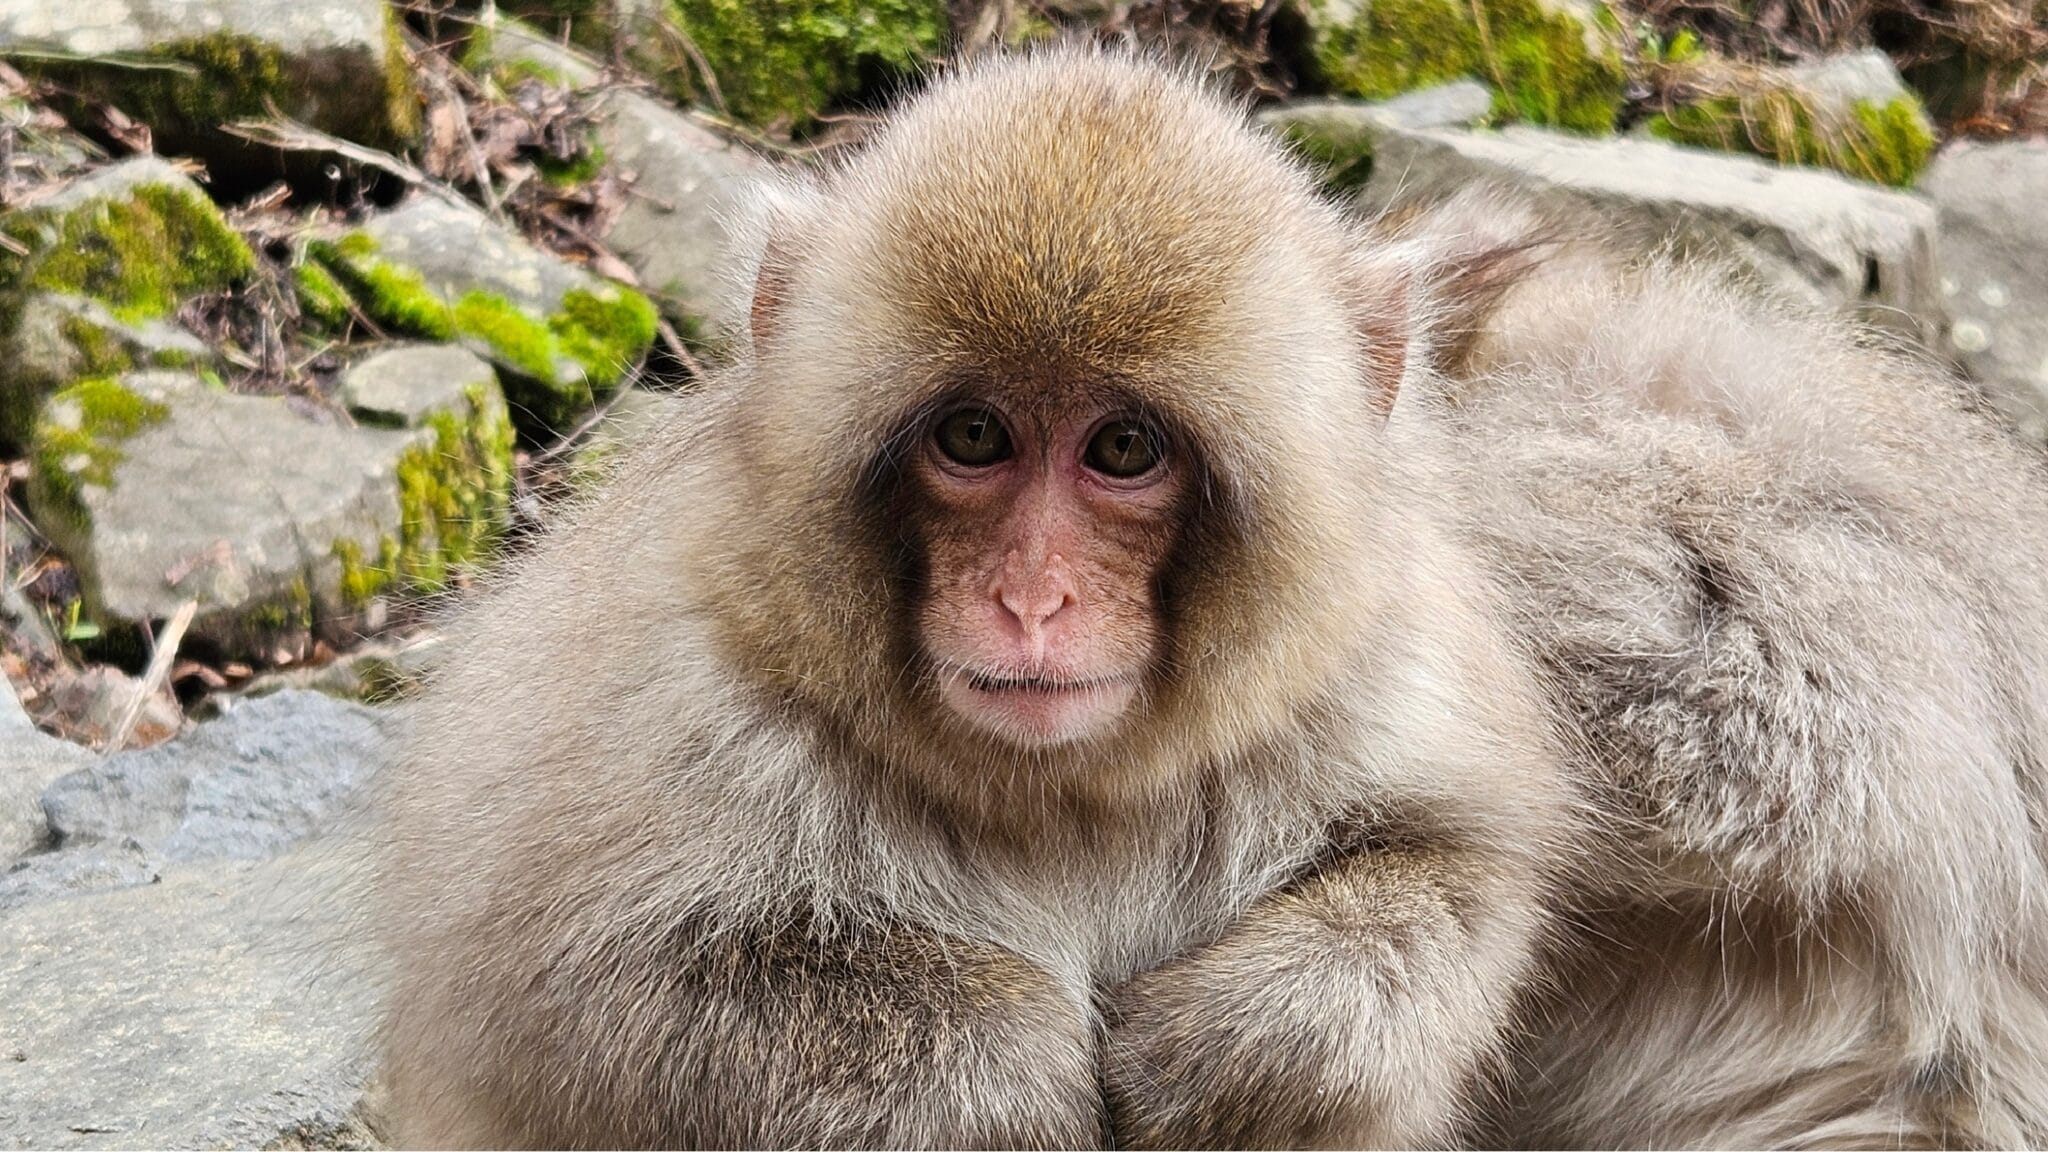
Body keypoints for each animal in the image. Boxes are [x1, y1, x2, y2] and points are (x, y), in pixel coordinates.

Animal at [373, 43, 2048, 1152]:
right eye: (973, 439)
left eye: (1122, 452)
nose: (1034, 601)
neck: (1064, 797)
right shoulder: (675, 692)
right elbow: (602, 1007)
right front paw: (997, 1066)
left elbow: (1457, 870)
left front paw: (1244, 1046)